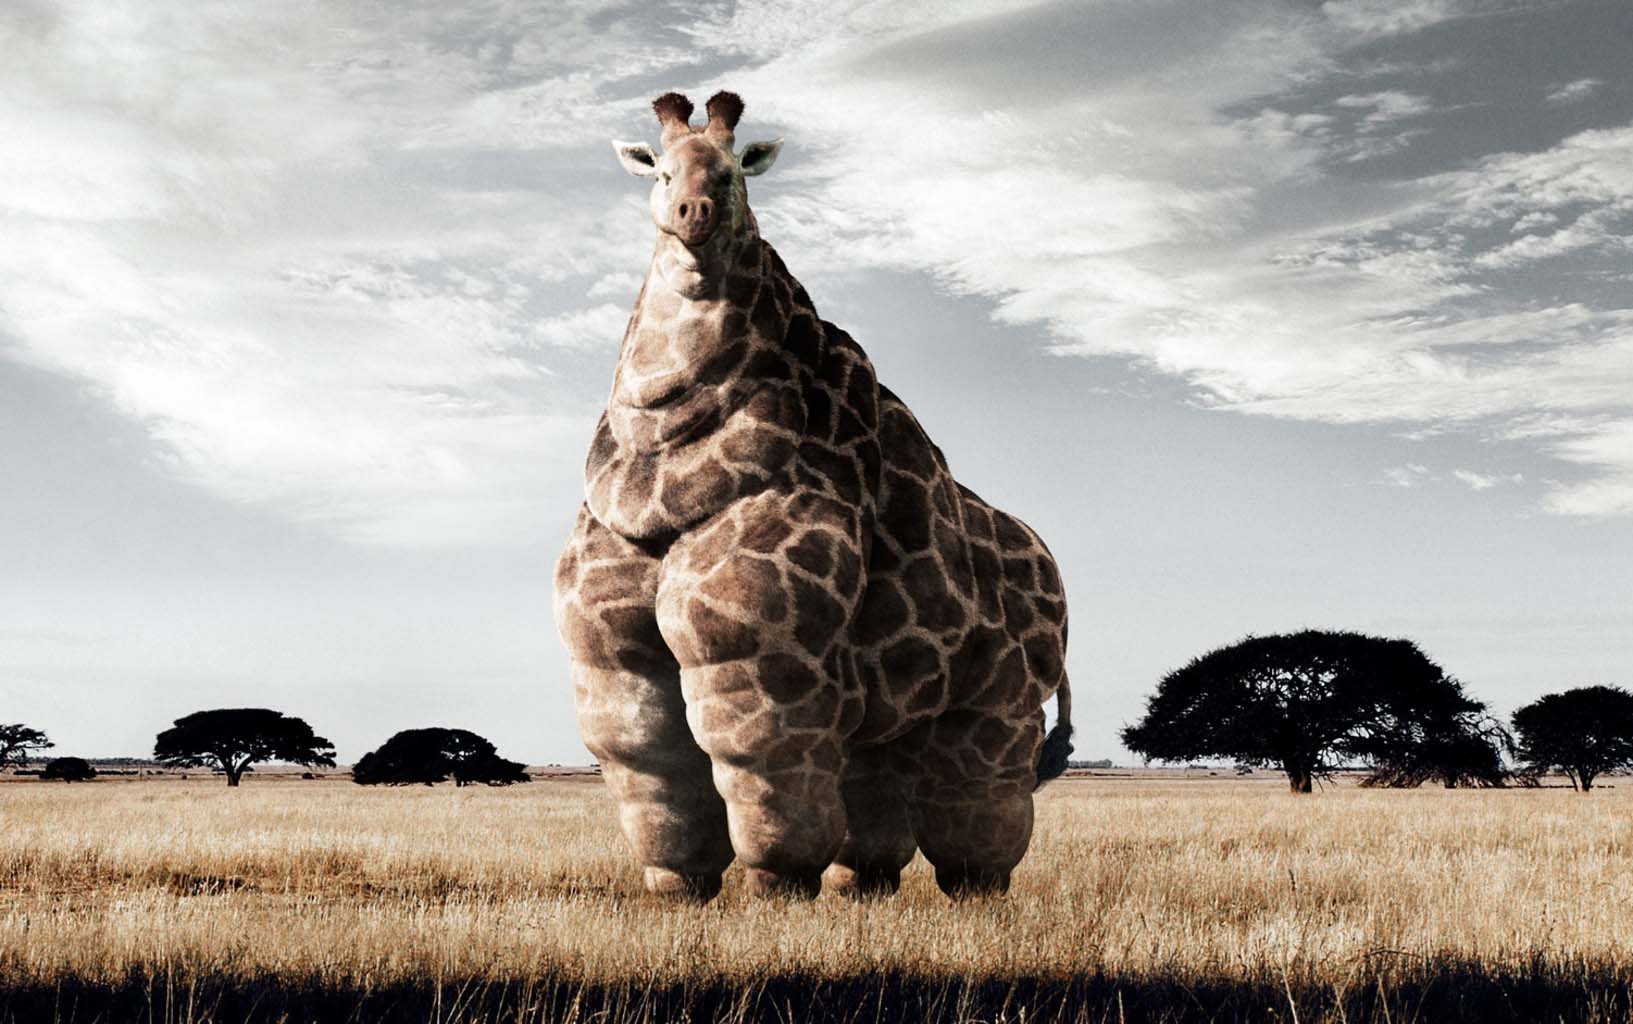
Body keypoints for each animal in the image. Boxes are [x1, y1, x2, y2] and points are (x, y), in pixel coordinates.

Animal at [553, 91, 1073, 902]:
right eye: (661, 169)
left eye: (734, 171)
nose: (693, 213)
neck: (660, 465)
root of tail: (1053, 571)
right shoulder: (611, 656)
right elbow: (650, 761)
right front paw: (679, 887)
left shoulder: (757, 647)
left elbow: (762, 768)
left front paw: (777, 889)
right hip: (894, 710)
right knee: (877, 803)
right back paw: (861, 887)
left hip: (998, 697)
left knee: (980, 800)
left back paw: (974, 891)